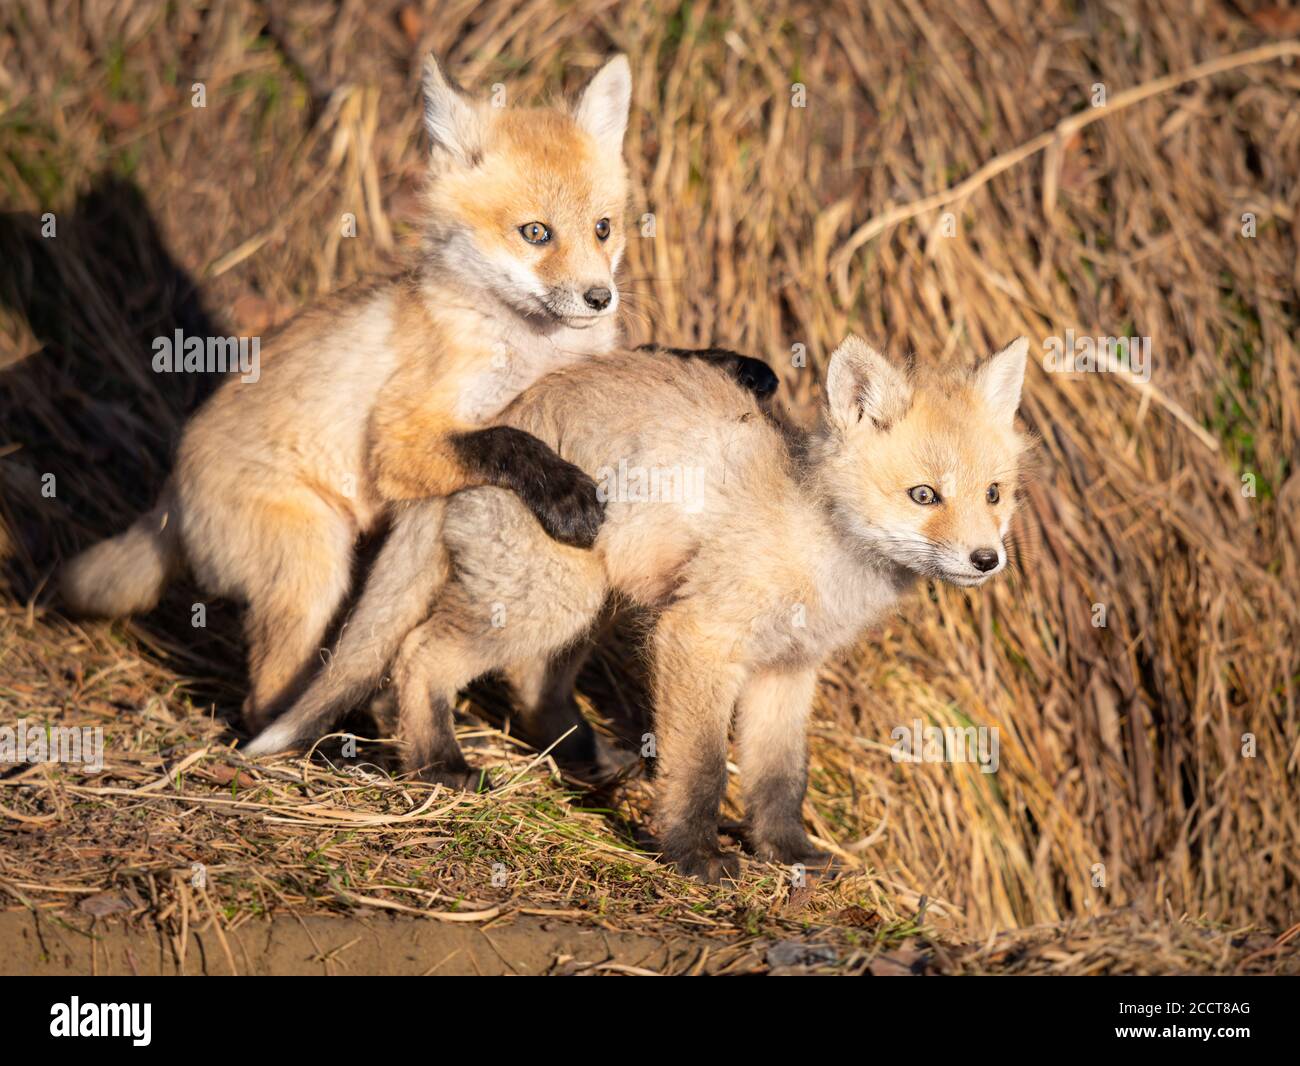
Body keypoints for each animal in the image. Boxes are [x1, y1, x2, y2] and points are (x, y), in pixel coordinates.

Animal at [59, 52, 774, 731]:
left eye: (602, 228)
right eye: (535, 233)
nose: (601, 298)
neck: (532, 348)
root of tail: (172, 492)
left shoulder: (584, 371)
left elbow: (648, 358)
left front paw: (733, 363)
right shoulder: (400, 444)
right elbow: (506, 441)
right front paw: (567, 493)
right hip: (315, 569)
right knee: (263, 699)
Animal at [246, 335, 1031, 882]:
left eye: (994, 493)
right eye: (924, 496)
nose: (986, 560)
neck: (819, 535)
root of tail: (491, 430)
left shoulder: (788, 671)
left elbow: (780, 779)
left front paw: (789, 853)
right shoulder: (698, 638)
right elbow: (703, 767)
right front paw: (693, 856)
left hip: (577, 606)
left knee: (529, 682)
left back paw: (577, 759)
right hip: (546, 603)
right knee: (418, 656)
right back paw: (439, 766)